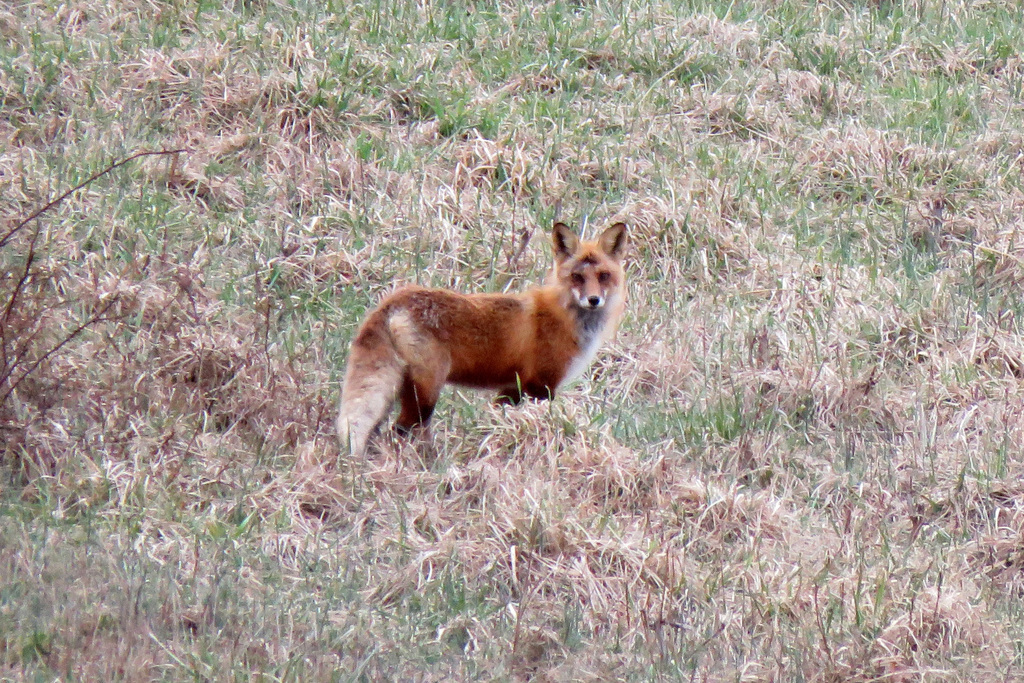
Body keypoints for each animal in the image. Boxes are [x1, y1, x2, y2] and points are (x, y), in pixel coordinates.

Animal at [335, 221, 628, 456]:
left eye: (603, 276)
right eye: (577, 277)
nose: (594, 300)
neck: (568, 318)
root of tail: (394, 300)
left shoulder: (512, 388)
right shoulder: (541, 386)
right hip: (426, 393)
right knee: (398, 431)